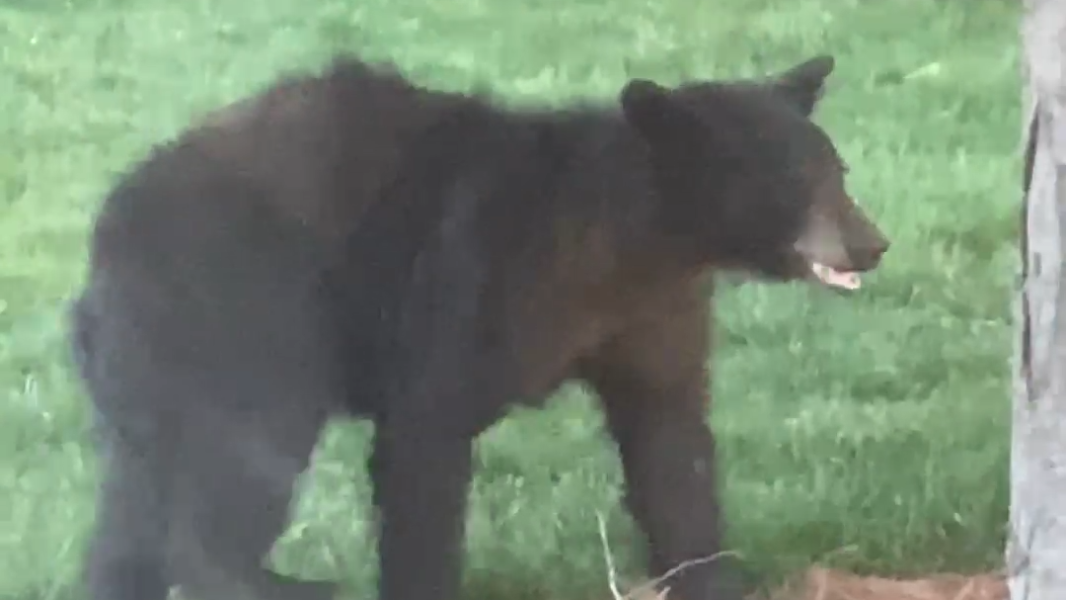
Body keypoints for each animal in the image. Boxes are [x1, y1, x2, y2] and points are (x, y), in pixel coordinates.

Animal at [68, 53, 889, 600]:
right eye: (793, 179)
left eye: (838, 170)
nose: (871, 243)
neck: (630, 244)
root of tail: (108, 235)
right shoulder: (469, 274)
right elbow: (422, 451)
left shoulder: (654, 317)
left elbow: (672, 448)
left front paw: (709, 575)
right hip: (249, 312)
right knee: (240, 466)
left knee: (133, 504)